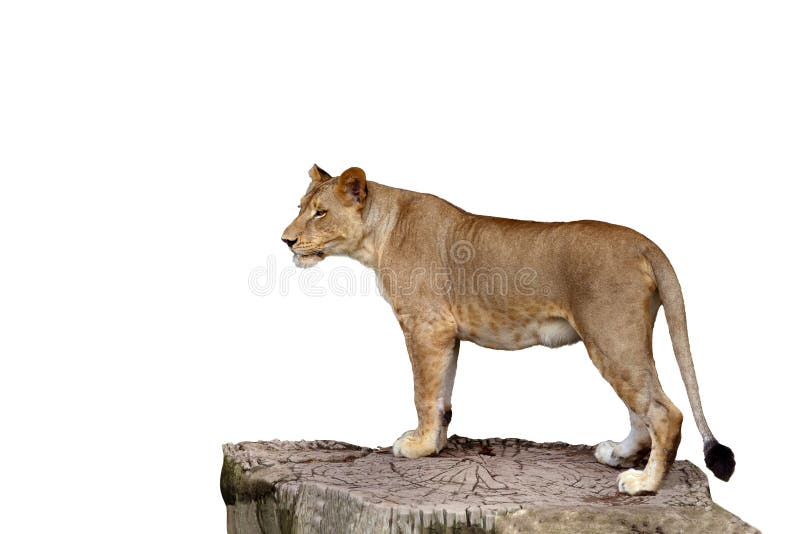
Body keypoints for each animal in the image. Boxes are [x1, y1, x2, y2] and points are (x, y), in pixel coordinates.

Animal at [281, 164, 735, 495]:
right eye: (301, 206)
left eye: (320, 212)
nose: (286, 240)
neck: (380, 233)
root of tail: (646, 242)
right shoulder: (447, 333)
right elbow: (442, 395)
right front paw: (435, 444)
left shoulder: (426, 326)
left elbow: (423, 393)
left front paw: (417, 446)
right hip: (620, 341)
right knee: (641, 409)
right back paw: (618, 455)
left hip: (610, 337)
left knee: (664, 412)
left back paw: (644, 484)